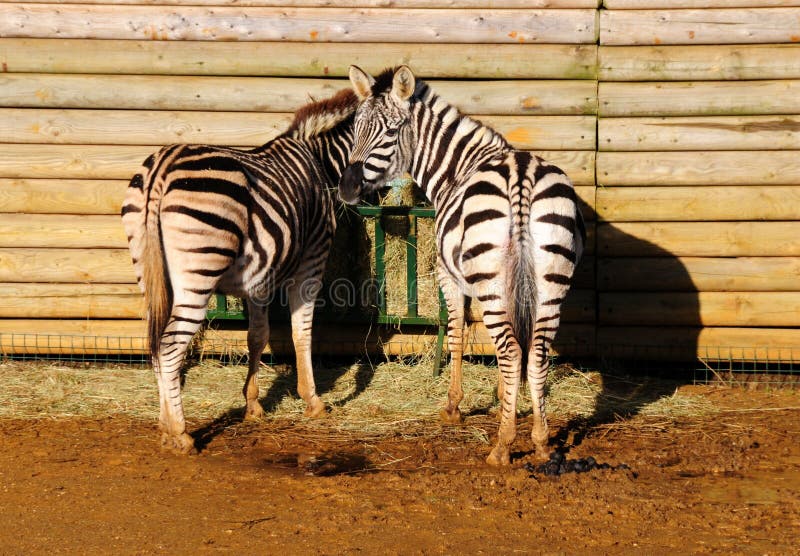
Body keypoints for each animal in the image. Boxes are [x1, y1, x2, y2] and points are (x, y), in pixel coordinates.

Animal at [121, 88, 357, 454]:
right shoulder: (312, 258)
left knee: (155, 341)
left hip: (149, 271)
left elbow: (257, 336)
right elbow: (301, 331)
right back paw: (180, 433)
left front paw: (253, 405)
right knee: (170, 345)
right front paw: (313, 401)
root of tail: (162, 166)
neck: (318, 160)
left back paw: (163, 425)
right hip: (199, 269)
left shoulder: (259, 278)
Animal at [339, 66, 585, 466]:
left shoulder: (449, 275)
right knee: (535, 352)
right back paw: (541, 441)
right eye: (356, 129)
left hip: (494, 279)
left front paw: (453, 407)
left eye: (390, 132)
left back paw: (501, 447)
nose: (346, 189)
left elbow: (455, 332)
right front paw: (505, 402)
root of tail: (521, 175)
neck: (458, 166)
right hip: (549, 281)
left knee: (512, 350)